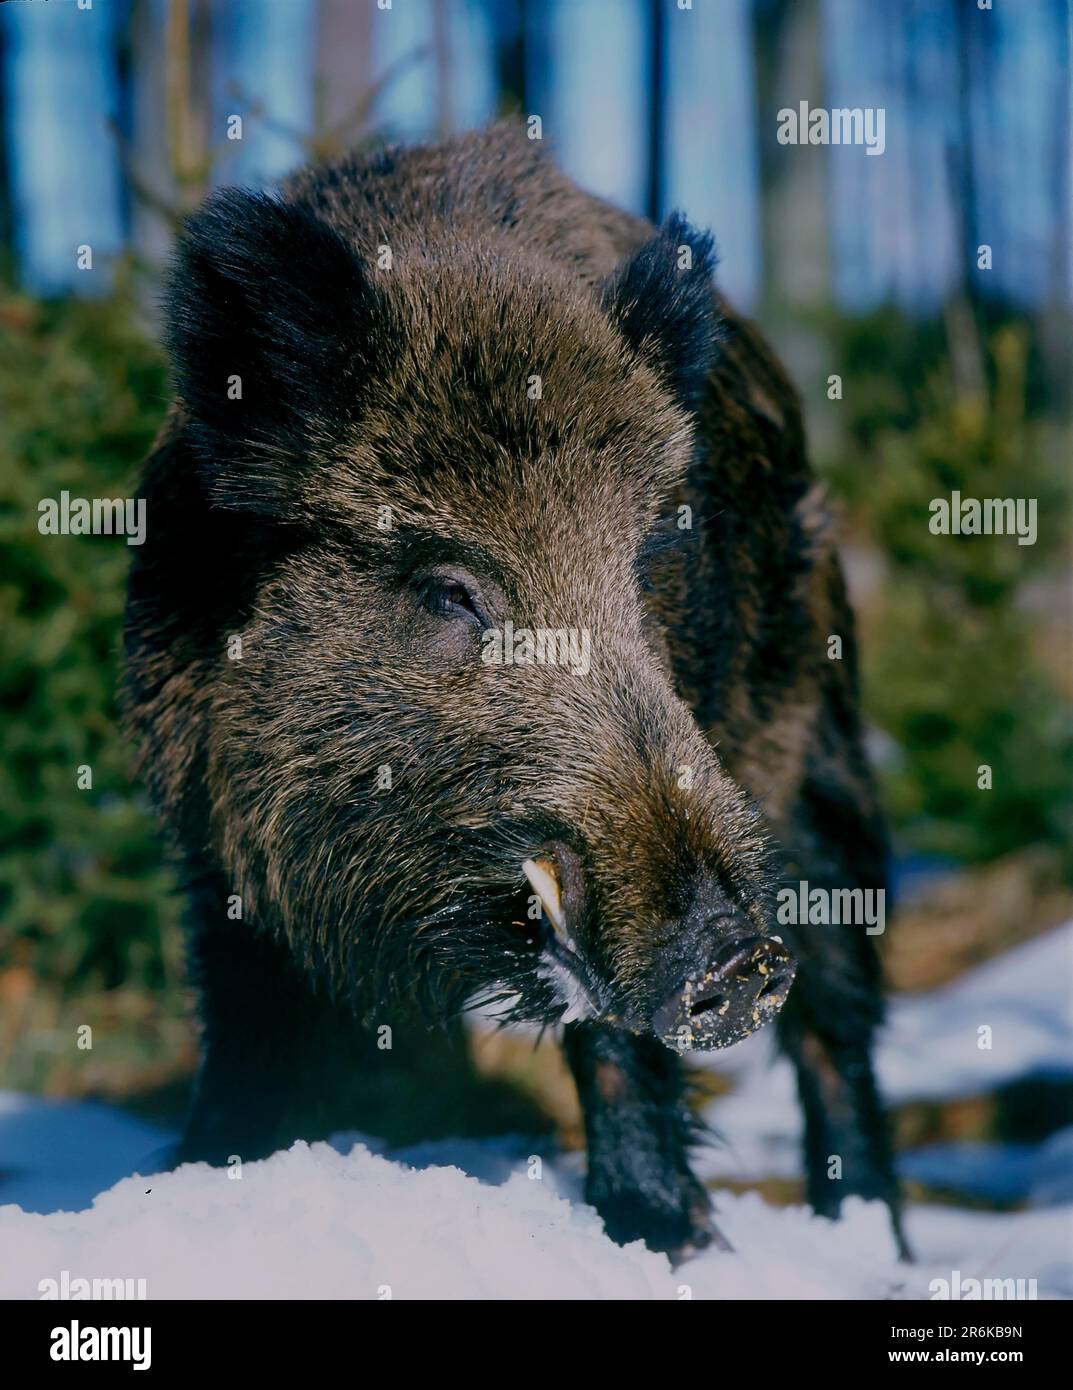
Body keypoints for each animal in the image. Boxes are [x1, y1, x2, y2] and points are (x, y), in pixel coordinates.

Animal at [123, 123, 906, 1261]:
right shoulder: (210, 822)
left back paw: (869, 1241)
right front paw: (196, 1176)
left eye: (646, 557)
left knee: (838, 1017)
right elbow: (247, 1021)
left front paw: (663, 1240)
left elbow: (620, 1043)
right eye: (450, 589)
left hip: (815, 752)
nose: (736, 956)